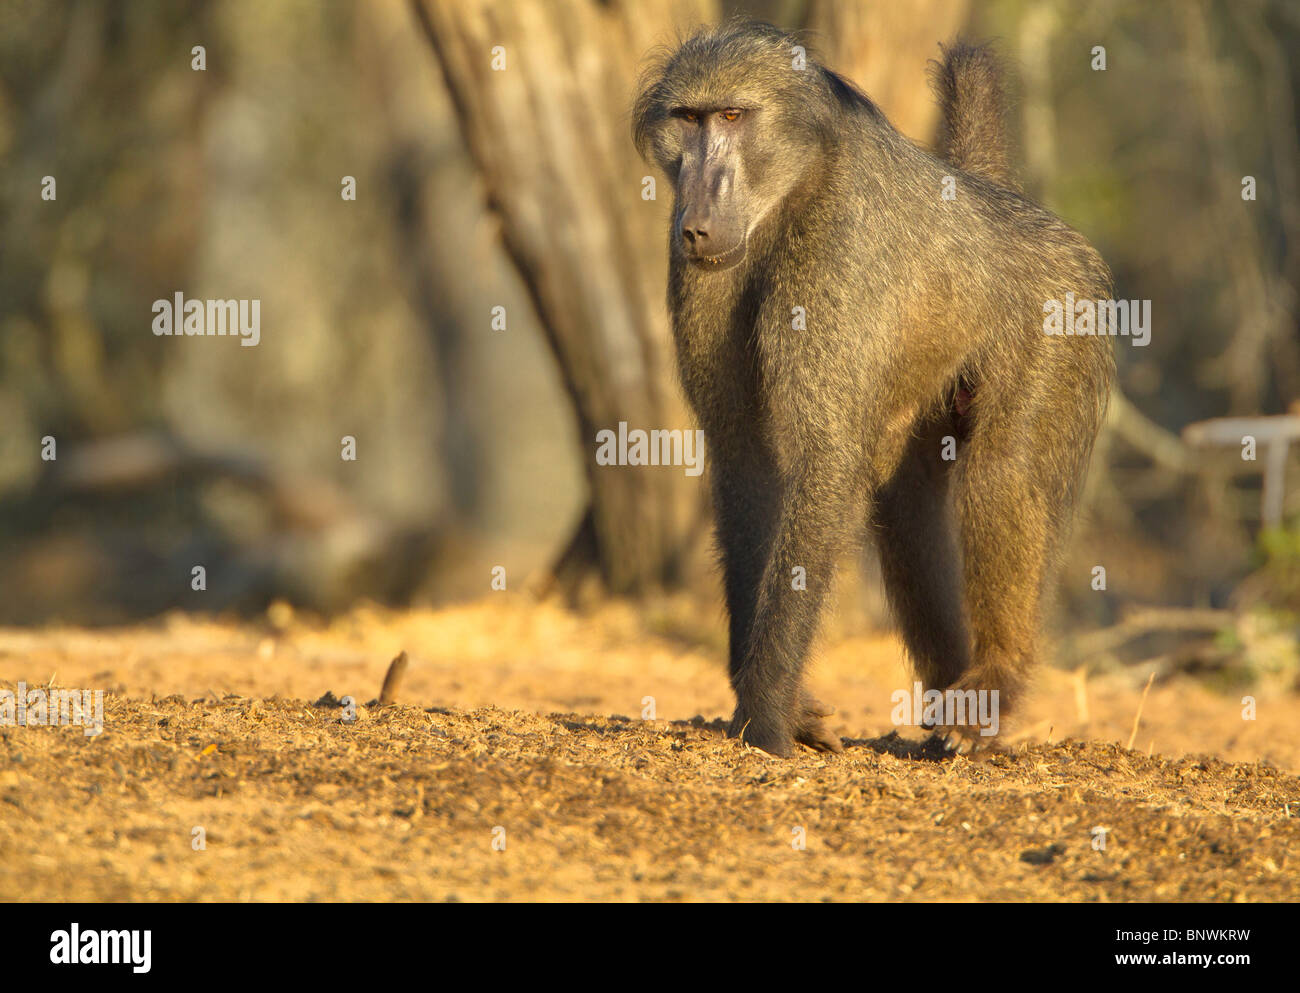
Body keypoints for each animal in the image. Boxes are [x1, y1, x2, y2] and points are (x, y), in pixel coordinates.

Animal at [632, 22, 1114, 757]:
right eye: (688, 119)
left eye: (733, 117)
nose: (699, 217)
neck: (791, 193)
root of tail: (1007, 203)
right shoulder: (702, 271)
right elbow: (746, 459)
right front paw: (781, 706)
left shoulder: (836, 252)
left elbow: (826, 455)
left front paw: (767, 713)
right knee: (907, 508)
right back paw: (951, 696)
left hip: (1063, 318)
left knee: (1000, 475)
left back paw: (988, 693)